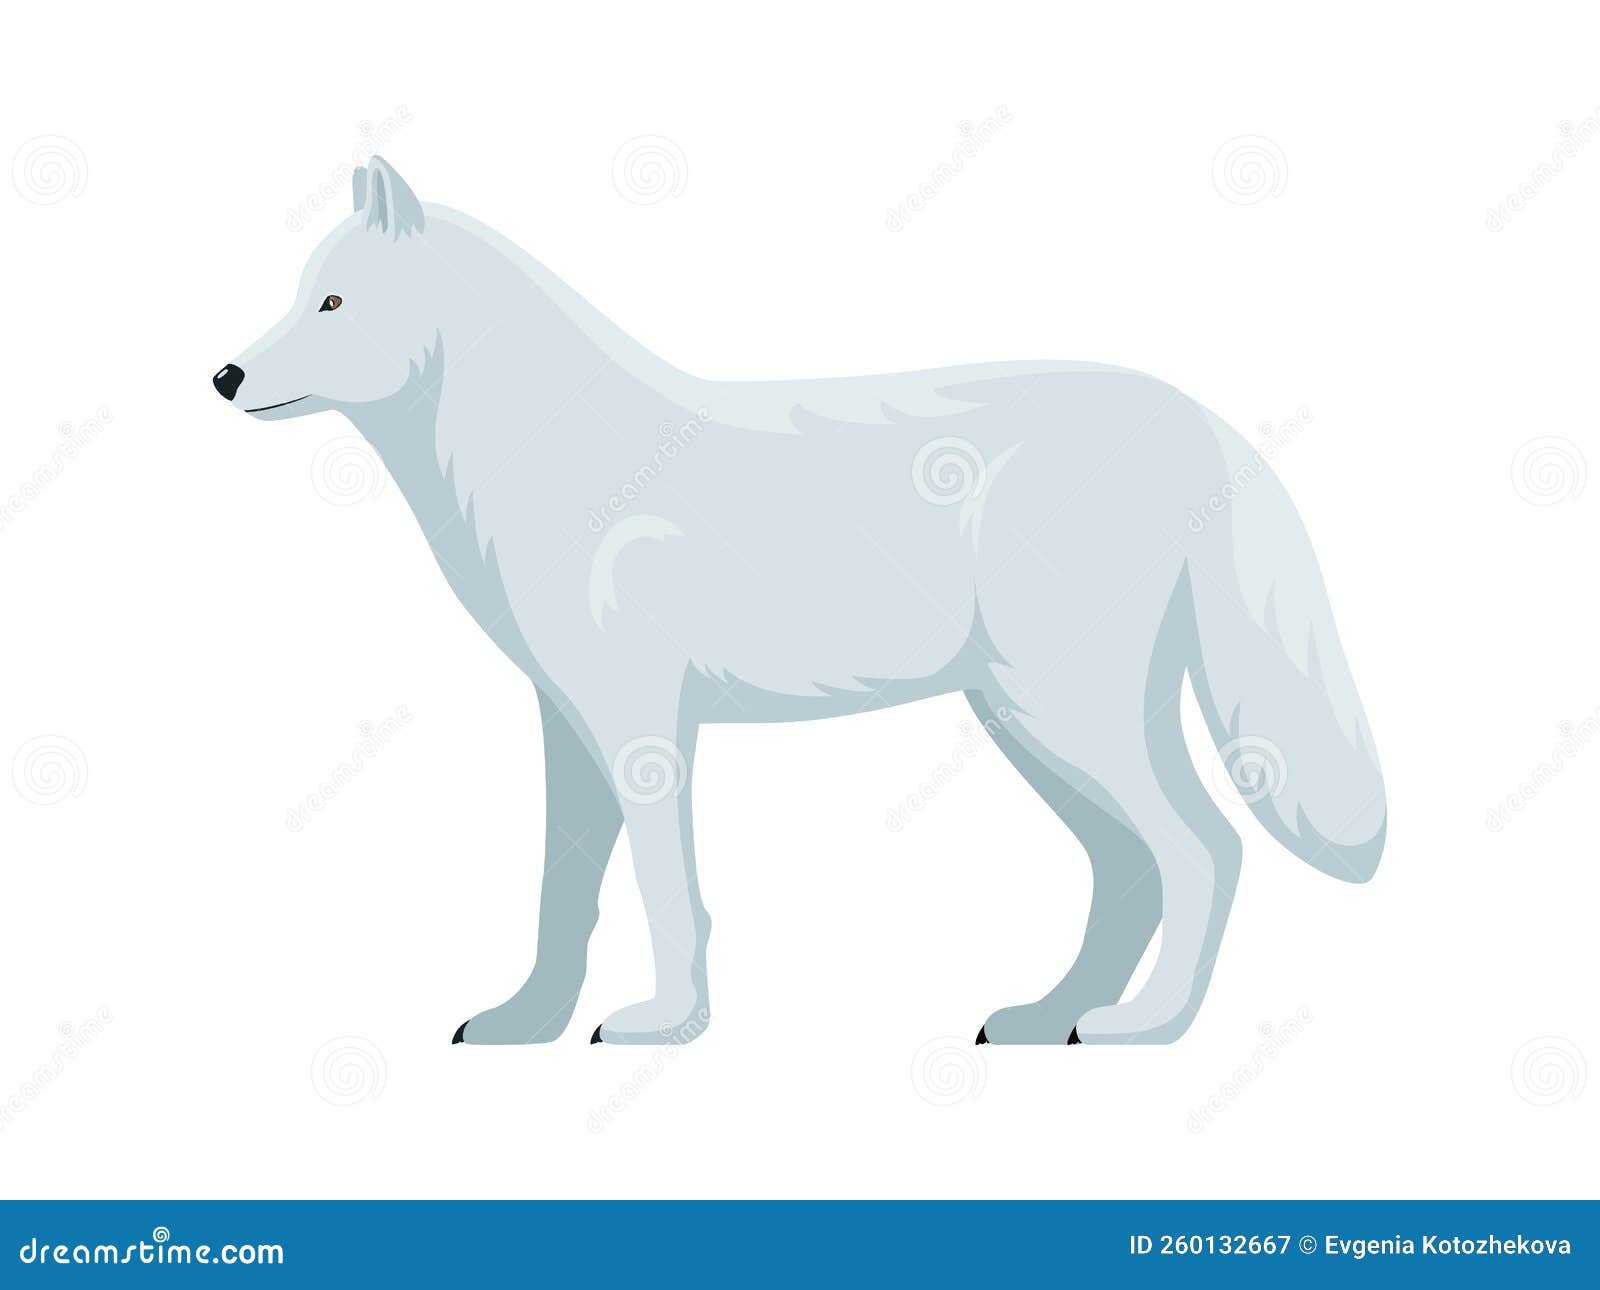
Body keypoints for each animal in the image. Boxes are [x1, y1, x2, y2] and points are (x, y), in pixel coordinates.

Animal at [214, 157, 1384, 1047]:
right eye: (298, 295)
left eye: (330, 304)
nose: (223, 376)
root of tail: (1197, 417)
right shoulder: (568, 726)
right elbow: (563, 898)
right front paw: (526, 1025)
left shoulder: (642, 729)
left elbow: (666, 894)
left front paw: (664, 1026)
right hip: (1029, 725)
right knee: (1133, 871)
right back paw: (1047, 1017)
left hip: (1062, 717)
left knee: (1205, 853)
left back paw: (1144, 1028)